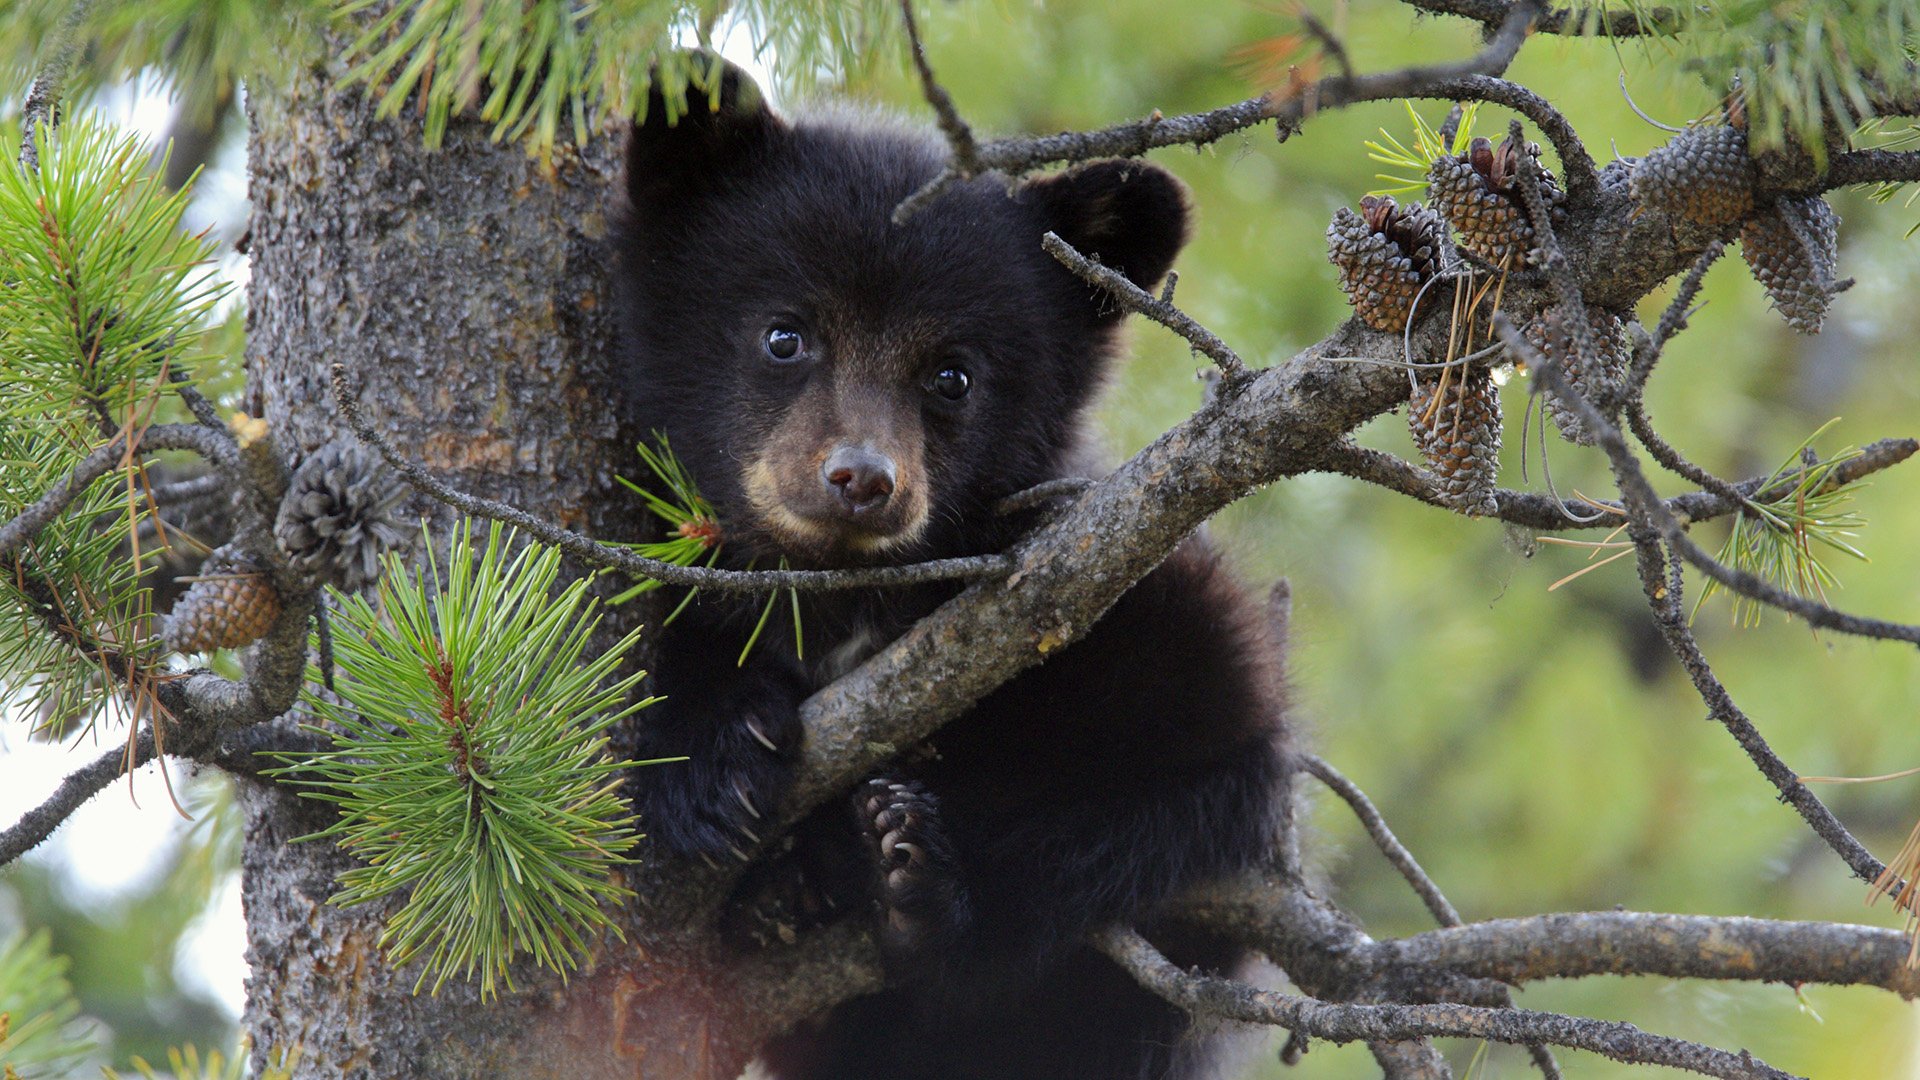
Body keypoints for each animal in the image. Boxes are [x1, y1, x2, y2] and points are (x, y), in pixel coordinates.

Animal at [612, 58, 1291, 1080]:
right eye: (784, 335)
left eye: (953, 375)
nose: (862, 479)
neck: (850, 599)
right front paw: (712, 754)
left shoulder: (1151, 599)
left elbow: (1199, 782)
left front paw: (913, 873)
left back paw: (910, 886)